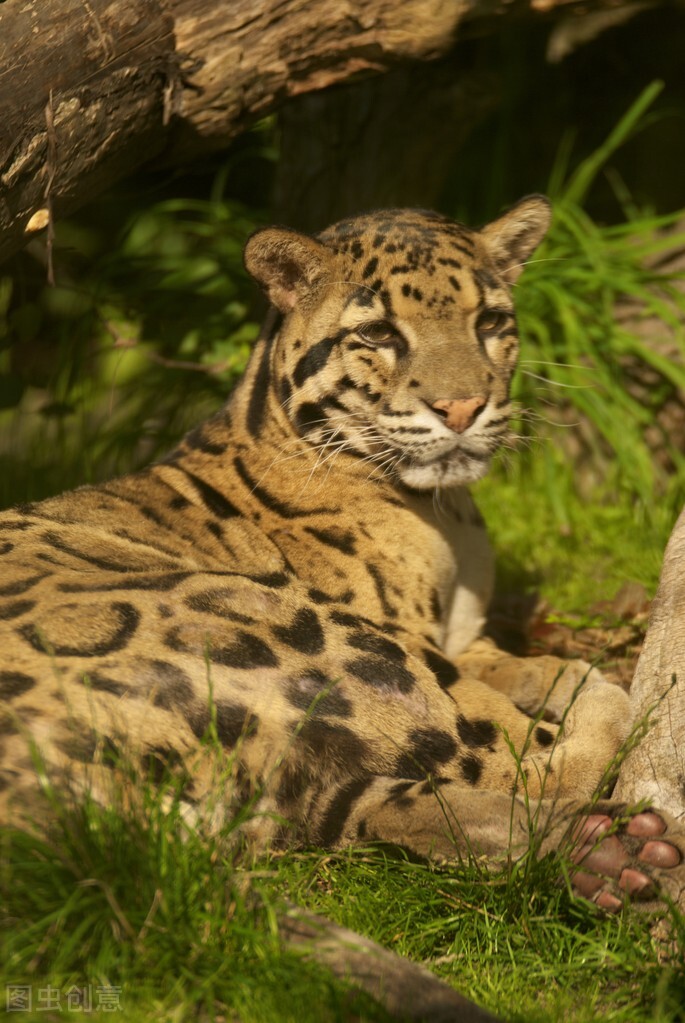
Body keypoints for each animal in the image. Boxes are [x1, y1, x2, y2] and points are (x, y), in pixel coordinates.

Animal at [1, 197, 683, 913]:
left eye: (491, 322)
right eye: (379, 333)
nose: (463, 408)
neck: (447, 513)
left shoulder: (458, 637)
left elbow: (512, 668)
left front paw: (558, 672)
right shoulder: (410, 639)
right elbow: (500, 716)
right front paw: (586, 683)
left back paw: (610, 856)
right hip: (300, 629)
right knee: (514, 765)